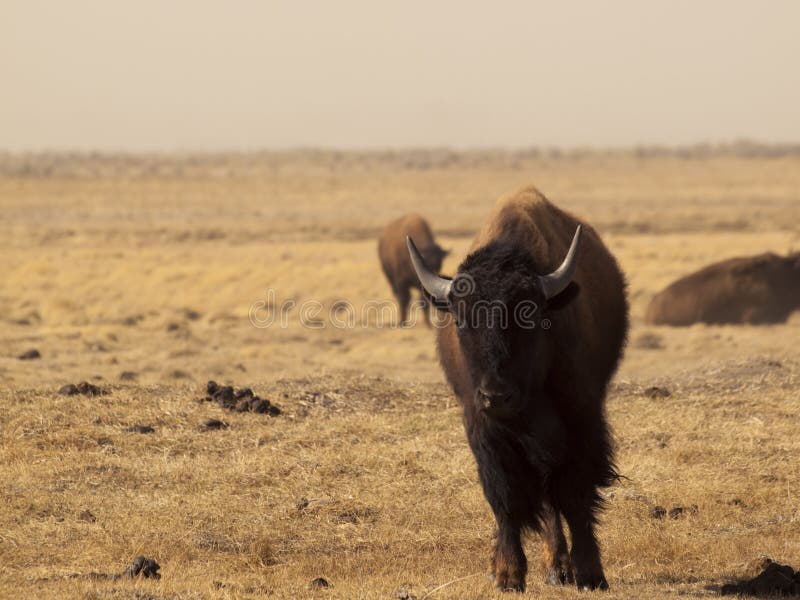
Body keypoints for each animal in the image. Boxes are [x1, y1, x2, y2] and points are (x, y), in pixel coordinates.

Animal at [407, 186, 628, 592]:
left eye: (530, 314)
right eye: (461, 318)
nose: (496, 395)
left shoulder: (581, 421)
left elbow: (575, 495)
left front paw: (591, 573)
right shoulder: (485, 433)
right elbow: (506, 499)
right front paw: (508, 575)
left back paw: (561, 569)